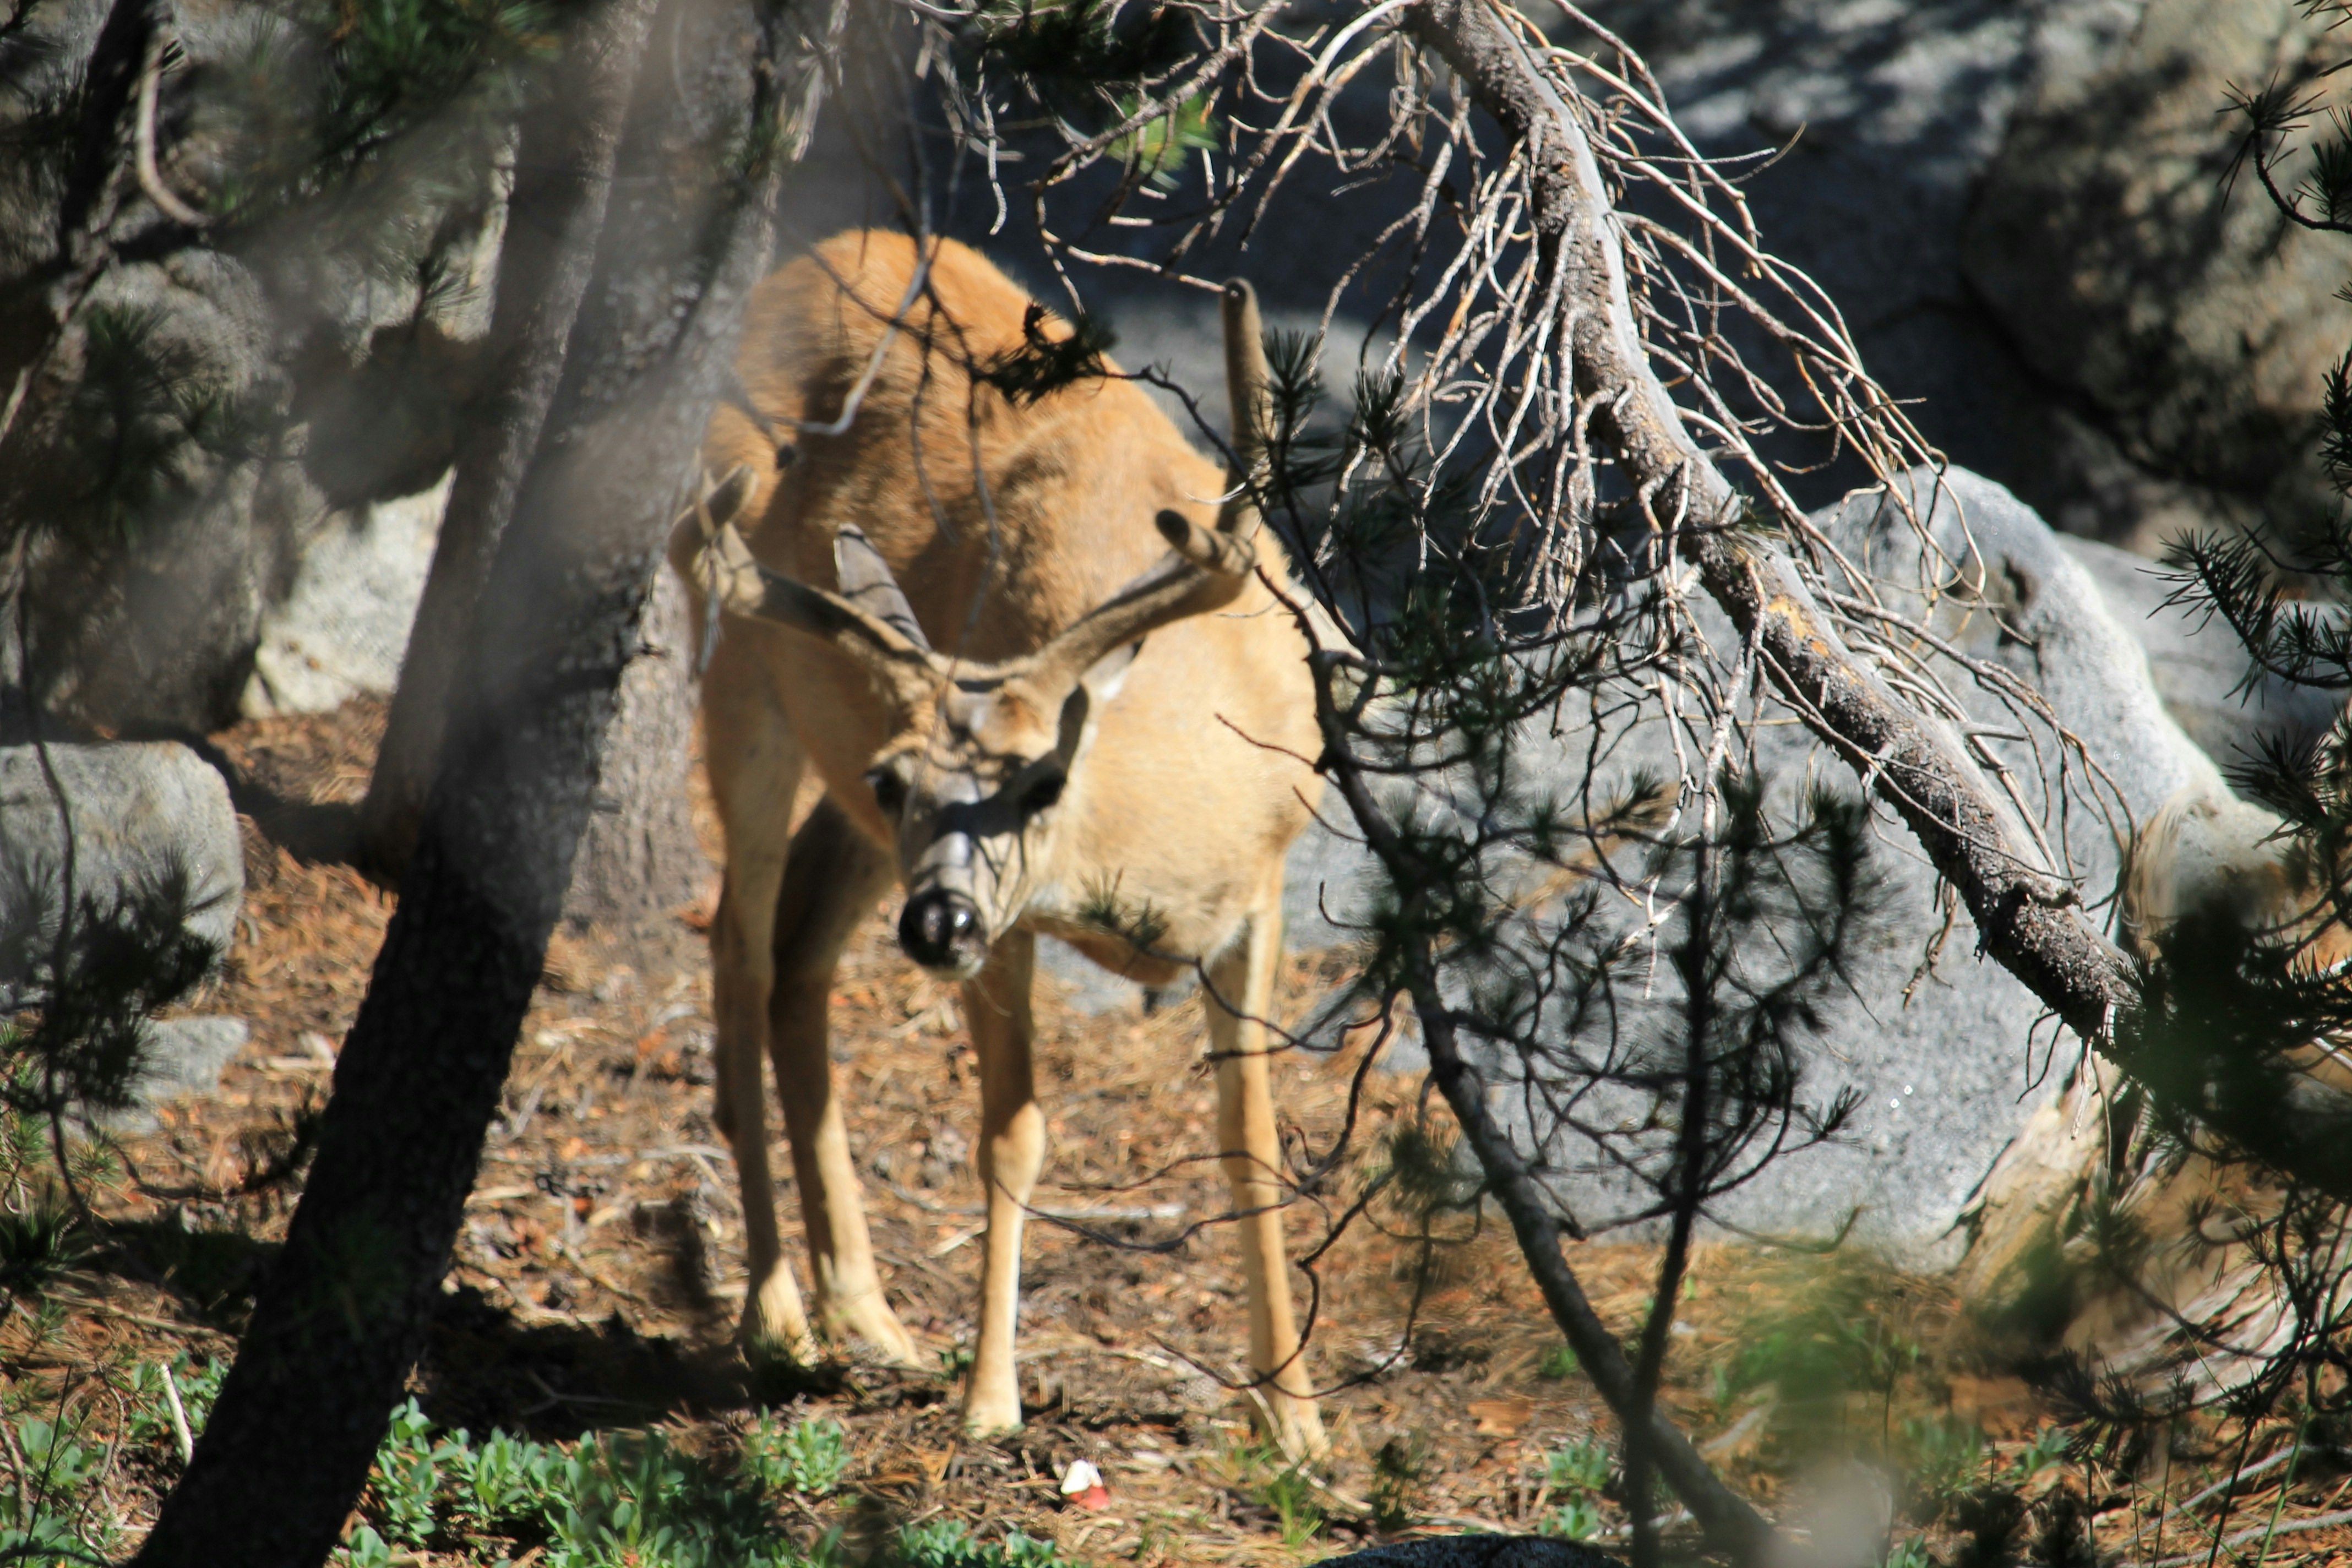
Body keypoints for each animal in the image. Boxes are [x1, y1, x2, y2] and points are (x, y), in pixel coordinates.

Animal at [665, 229, 1328, 1457]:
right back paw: (777, 1316)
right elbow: (1012, 1134)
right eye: (900, 777)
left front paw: (1297, 1423)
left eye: (1042, 779)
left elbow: (1251, 1134)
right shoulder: (1007, 926)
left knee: (799, 952)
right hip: (740, 663)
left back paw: (868, 1314)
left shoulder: (1261, 890)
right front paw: (989, 1399)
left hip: (849, 812)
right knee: (739, 944)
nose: (937, 923)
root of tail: (816, 253)